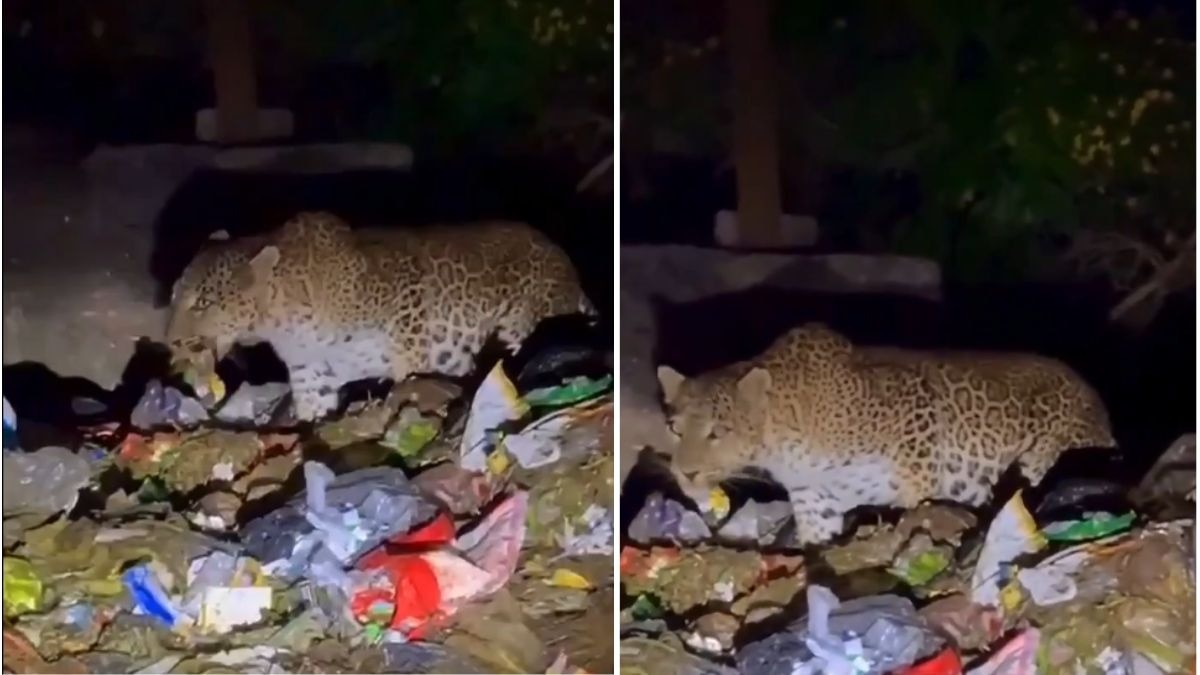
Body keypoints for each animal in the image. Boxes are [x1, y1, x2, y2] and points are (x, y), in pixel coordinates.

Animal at [166, 211, 593, 421]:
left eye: (202, 302)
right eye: (173, 296)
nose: (172, 342)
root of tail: (570, 268)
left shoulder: (411, 325)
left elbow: (410, 374)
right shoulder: (312, 375)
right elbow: (312, 411)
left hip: (524, 325)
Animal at [656, 322, 1116, 546]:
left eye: (719, 432)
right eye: (675, 429)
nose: (685, 474)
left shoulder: (915, 411)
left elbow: (917, 490)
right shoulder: (815, 501)